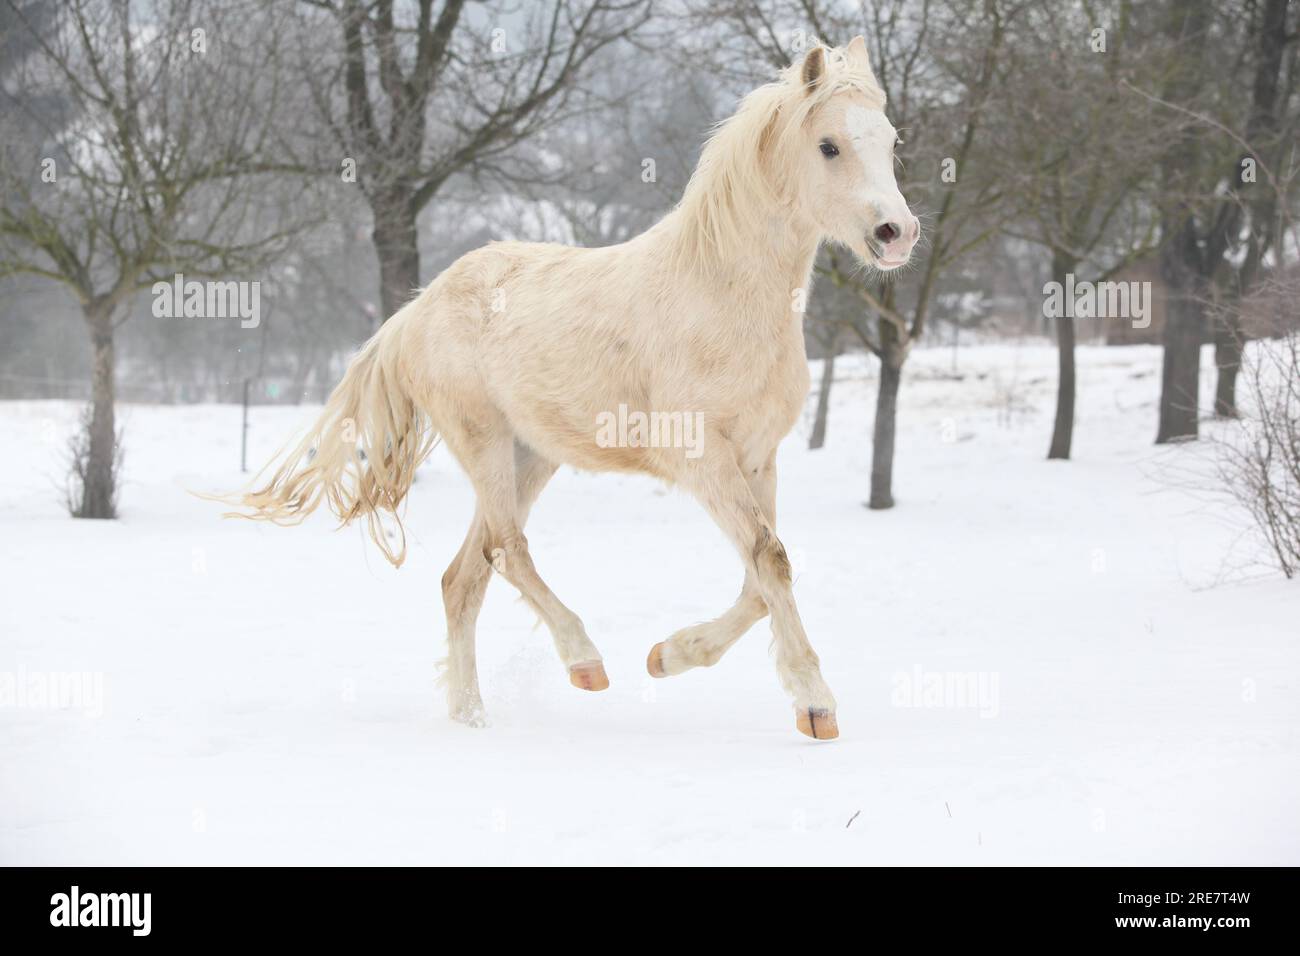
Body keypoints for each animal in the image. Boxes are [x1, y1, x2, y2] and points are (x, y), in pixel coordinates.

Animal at [230, 37, 919, 739]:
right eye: (828, 146)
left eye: (889, 140)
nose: (897, 233)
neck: (720, 293)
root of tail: (416, 309)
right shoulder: (702, 460)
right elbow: (770, 560)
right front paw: (815, 703)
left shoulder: (758, 457)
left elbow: (761, 576)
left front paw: (669, 656)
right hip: (485, 444)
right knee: (505, 552)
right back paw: (583, 662)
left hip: (531, 457)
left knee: (462, 579)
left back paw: (471, 718)